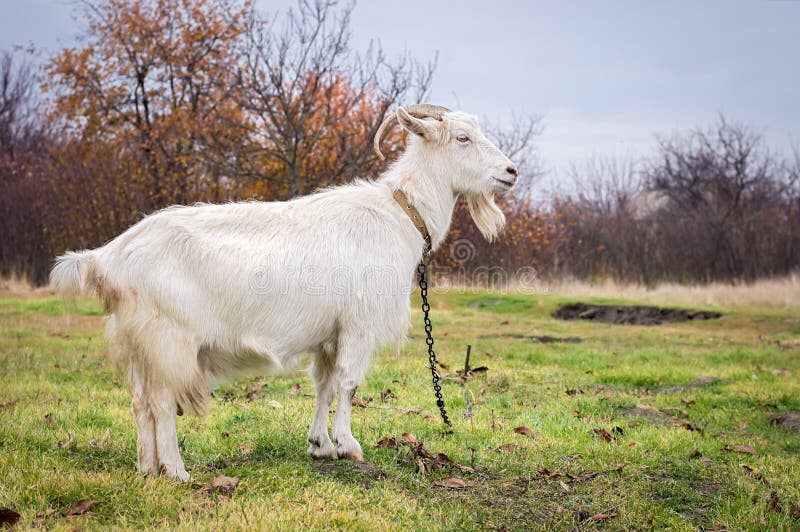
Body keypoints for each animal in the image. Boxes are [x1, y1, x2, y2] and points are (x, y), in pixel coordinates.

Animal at [50, 104, 518, 481]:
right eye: (462, 137)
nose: (511, 172)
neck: (398, 214)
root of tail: (109, 257)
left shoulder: (329, 334)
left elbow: (324, 385)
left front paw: (320, 445)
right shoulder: (358, 324)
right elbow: (349, 382)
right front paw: (349, 445)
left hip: (135, 343)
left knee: (140, 403)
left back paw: (146, 468)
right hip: (167, 337)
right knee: (163, 403)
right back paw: (176, 471)